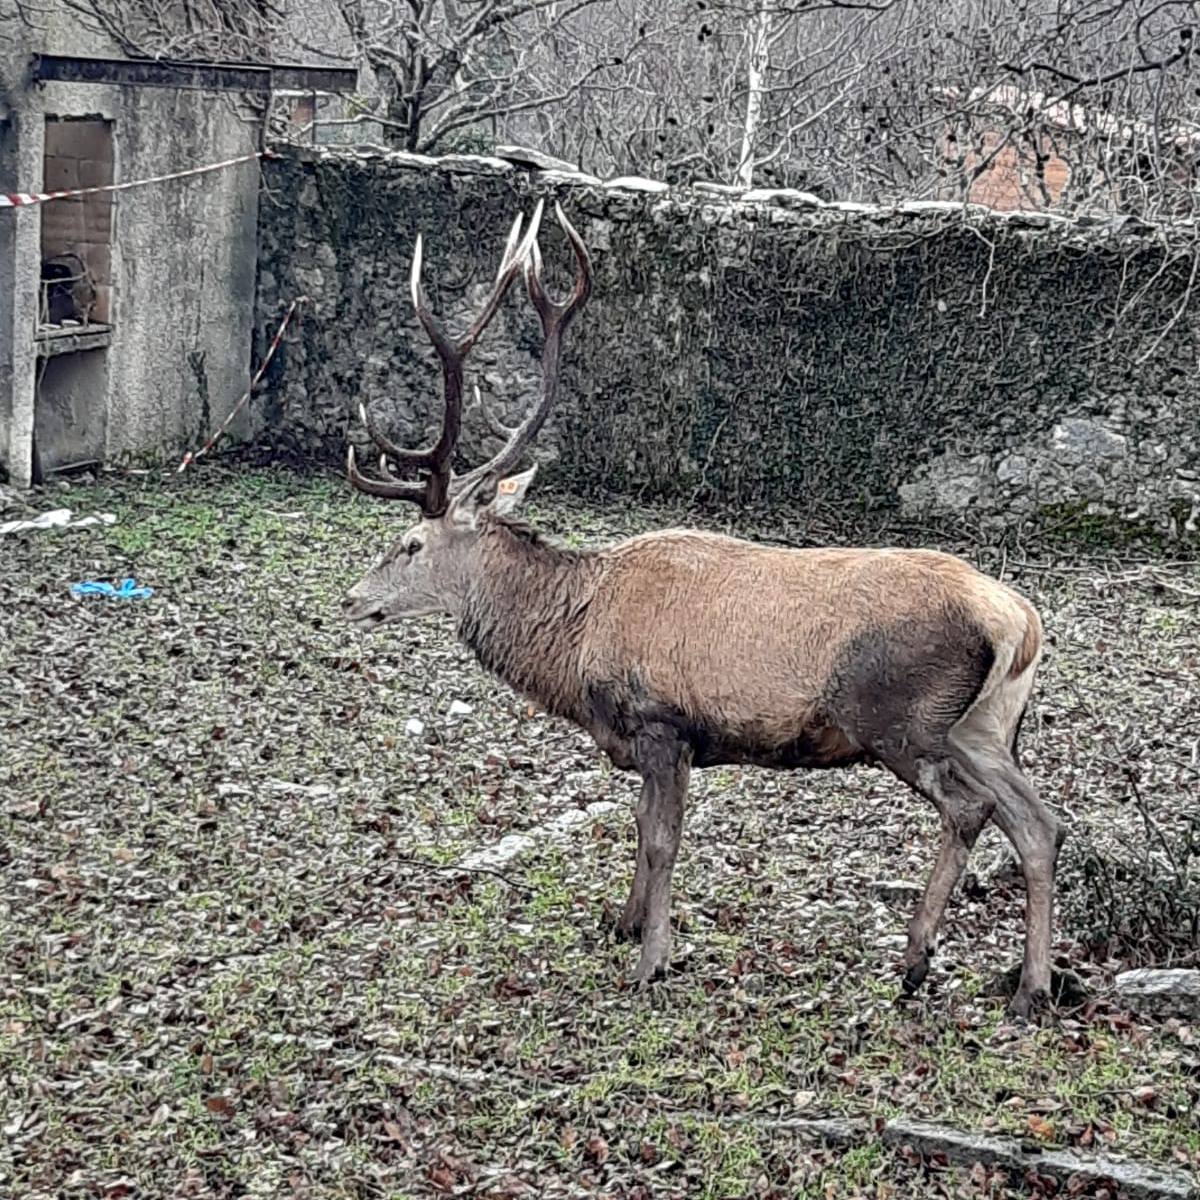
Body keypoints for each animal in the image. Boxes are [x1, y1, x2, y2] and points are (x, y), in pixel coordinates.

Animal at [341, 200, 1065, 1018]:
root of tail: (1019, 621)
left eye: (409, 544)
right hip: (988, 726)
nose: (353, 599)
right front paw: (623, 923)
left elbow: (663, 839)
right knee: (1040, 823)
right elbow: (637, 824)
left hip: (899, 716)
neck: (575, 645)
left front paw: (651, 960)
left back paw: (919, 959)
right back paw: (1027, 986)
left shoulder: (663, 721)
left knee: (971, 811)